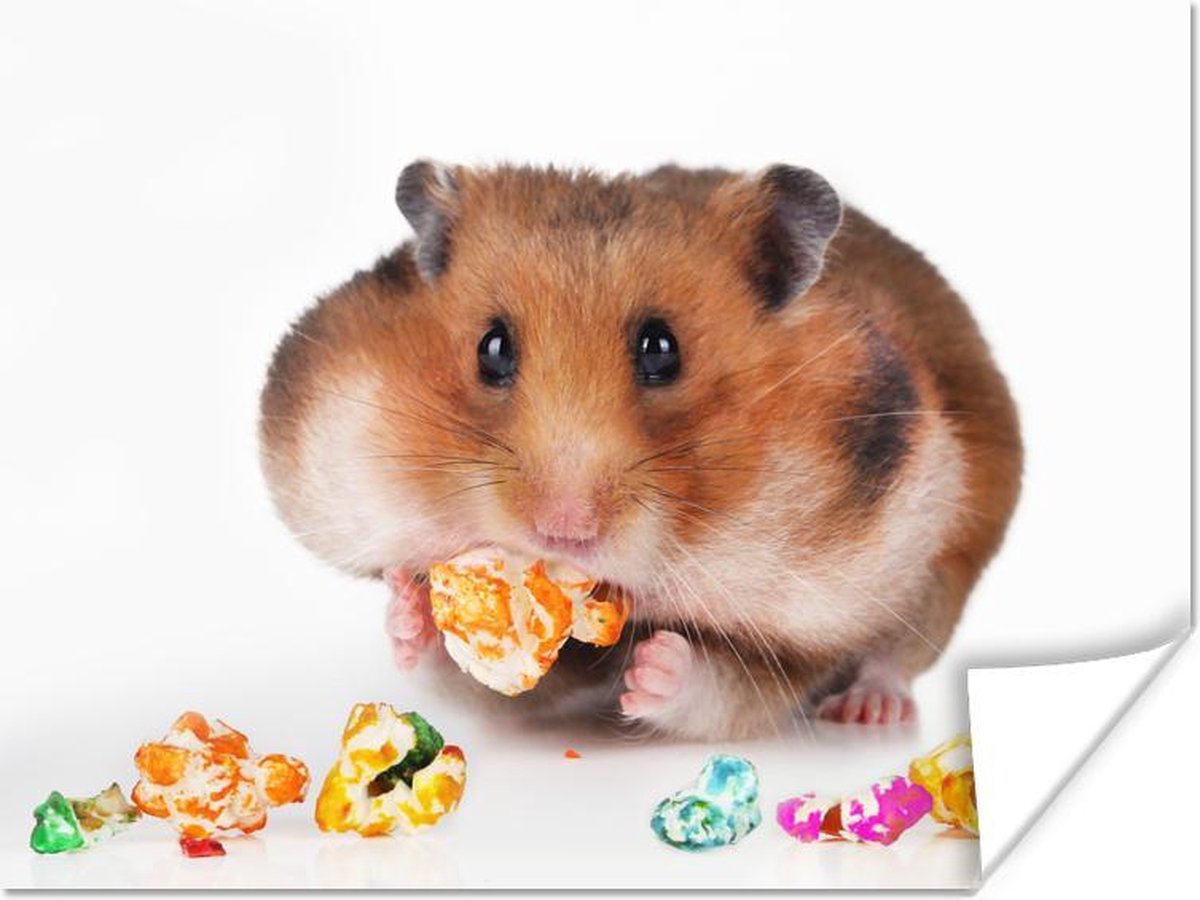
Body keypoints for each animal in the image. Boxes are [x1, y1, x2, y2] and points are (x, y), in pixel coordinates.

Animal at [259, 161, 1022, 740]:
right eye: (492, 349)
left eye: (662, 351)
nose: (562, 530)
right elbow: (471, 681)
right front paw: (408, 609)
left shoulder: (812, 622)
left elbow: (727, 691)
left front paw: (651, 666)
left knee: (900, 655)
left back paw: (869, 710)